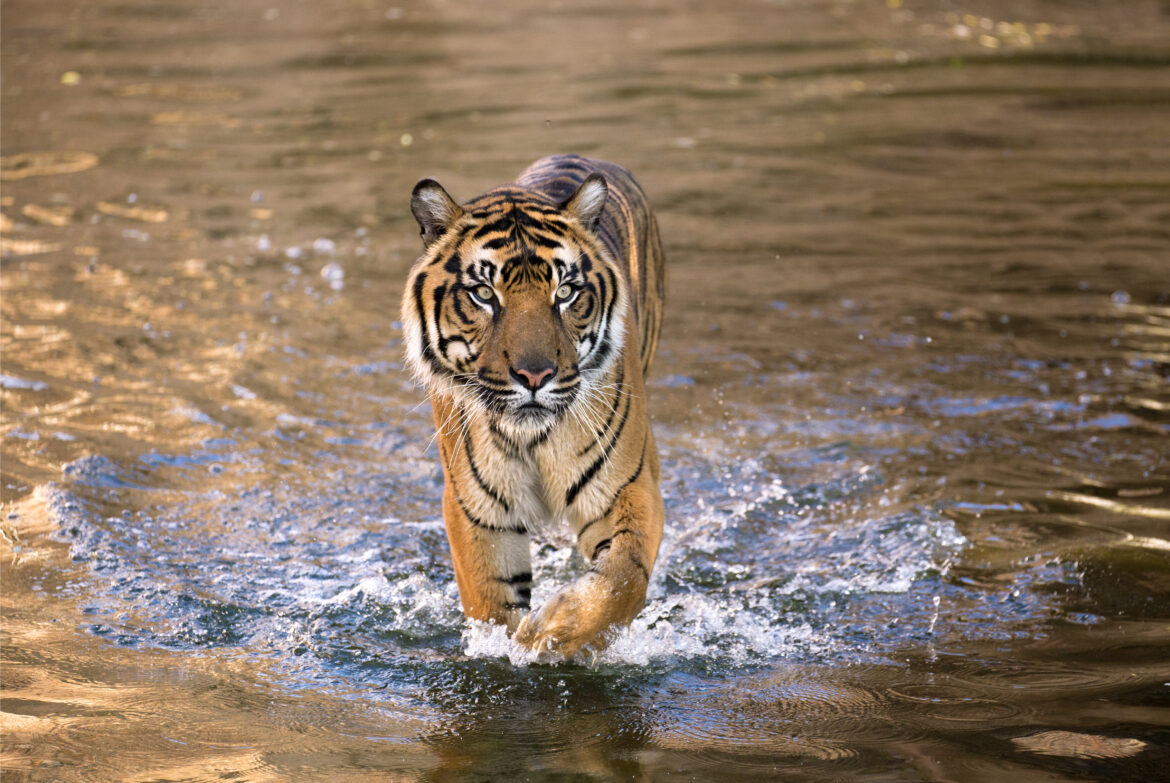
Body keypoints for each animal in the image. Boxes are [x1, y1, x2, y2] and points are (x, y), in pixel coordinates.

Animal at [401, 154, 666, 659]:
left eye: (564, 293)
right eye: (484, 294)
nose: (535, 376)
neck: (533, 437)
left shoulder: (627, 486)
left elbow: (621, 580)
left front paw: (550, 632)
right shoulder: (476, 509)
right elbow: (489, 600)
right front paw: (509, 642)